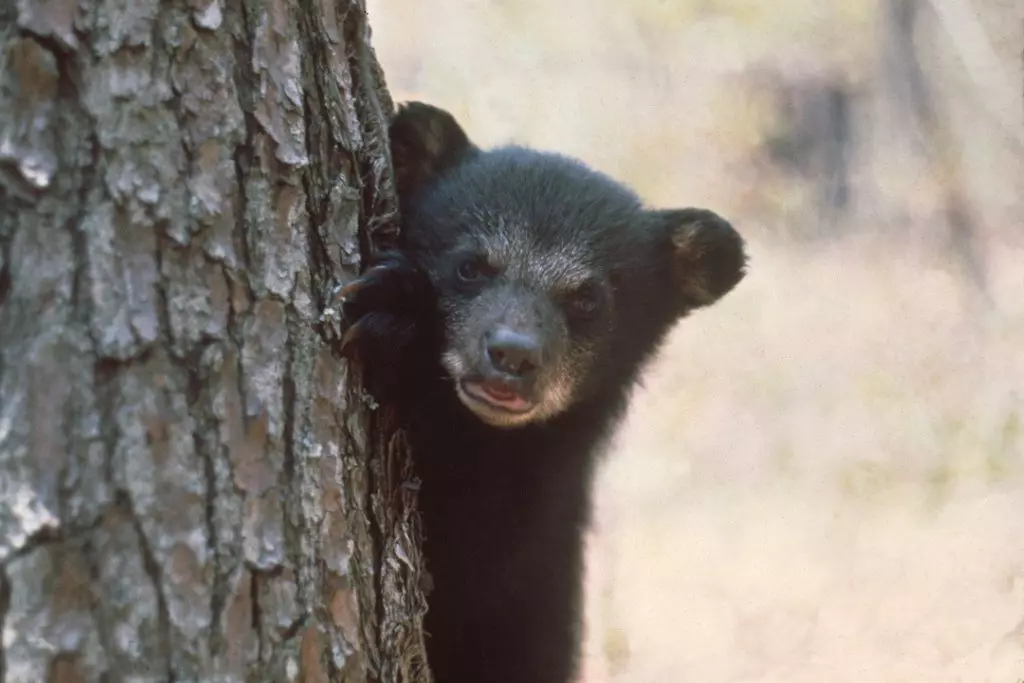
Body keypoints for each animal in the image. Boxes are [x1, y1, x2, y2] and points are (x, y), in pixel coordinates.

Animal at [339, 101, 749, 683]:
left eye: (587, 300)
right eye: (470, 266)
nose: (513, 355)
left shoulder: (532, 533)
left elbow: (473, 562)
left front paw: (396, 319)